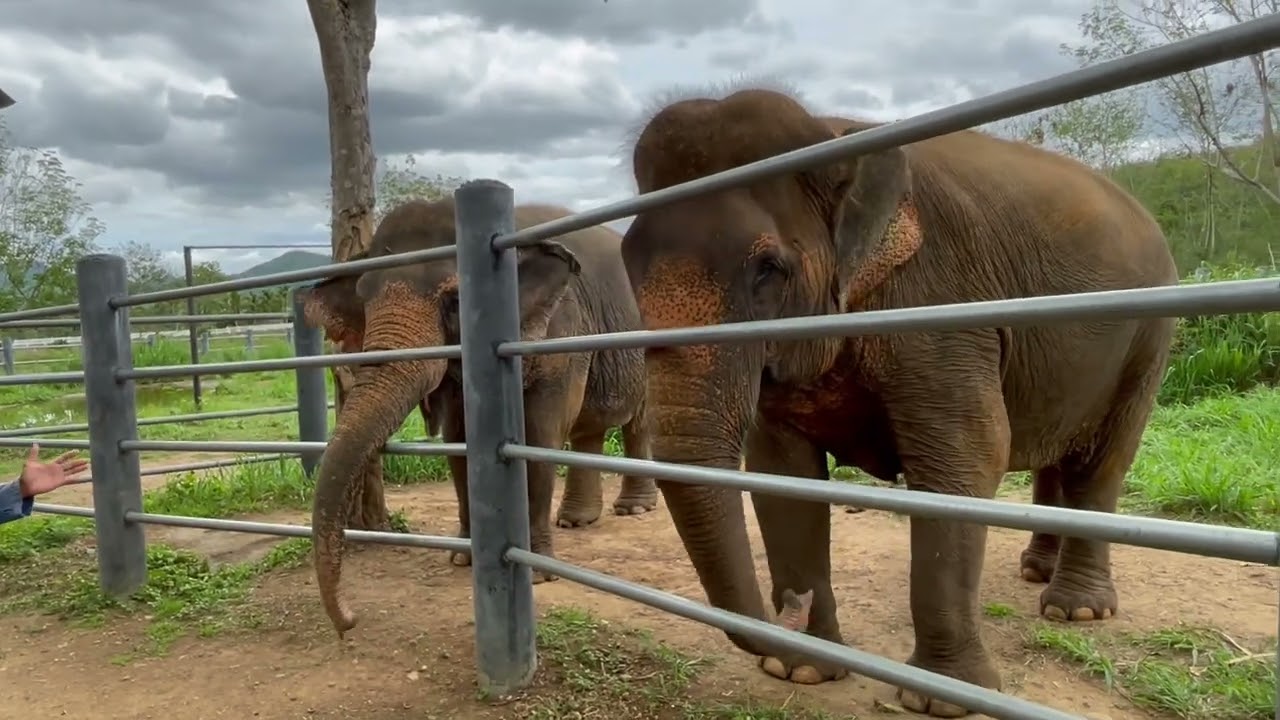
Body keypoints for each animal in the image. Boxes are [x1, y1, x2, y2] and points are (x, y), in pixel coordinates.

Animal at [298, 198, 660, 636]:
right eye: (364, 296)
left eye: (455, 300)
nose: (348, 622)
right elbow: (459, 439)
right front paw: (463, 559)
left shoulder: (563, 327)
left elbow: (540, 434)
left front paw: (537, 573)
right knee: (588, 430)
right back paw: (576, 521)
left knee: (637, 422)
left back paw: (634, 509)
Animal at [617, 86, 1178, 717]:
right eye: (625, 264)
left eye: (768, 268)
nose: (791, 607)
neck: (835, 138)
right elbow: (781, 474)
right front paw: (802, 671)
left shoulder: (944, 307)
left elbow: (964, 461)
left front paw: (945, 700)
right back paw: (1036, 572)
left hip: (1149, 338)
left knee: (1102, 461)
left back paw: (1074, 609)